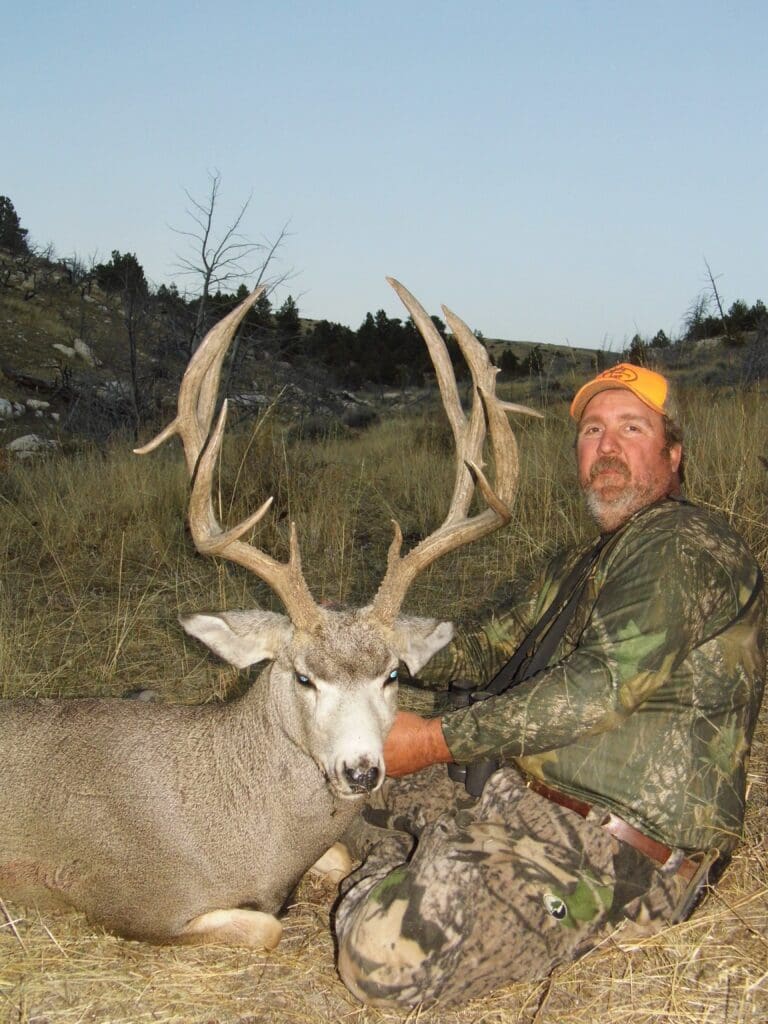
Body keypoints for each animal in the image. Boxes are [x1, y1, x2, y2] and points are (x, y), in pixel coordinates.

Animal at [0, 278, 541, 951]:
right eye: (303, 677)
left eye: (392, 674)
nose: (360, 771)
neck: (247, 832)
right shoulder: (128, 895)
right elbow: (264, 927)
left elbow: (338, 858)